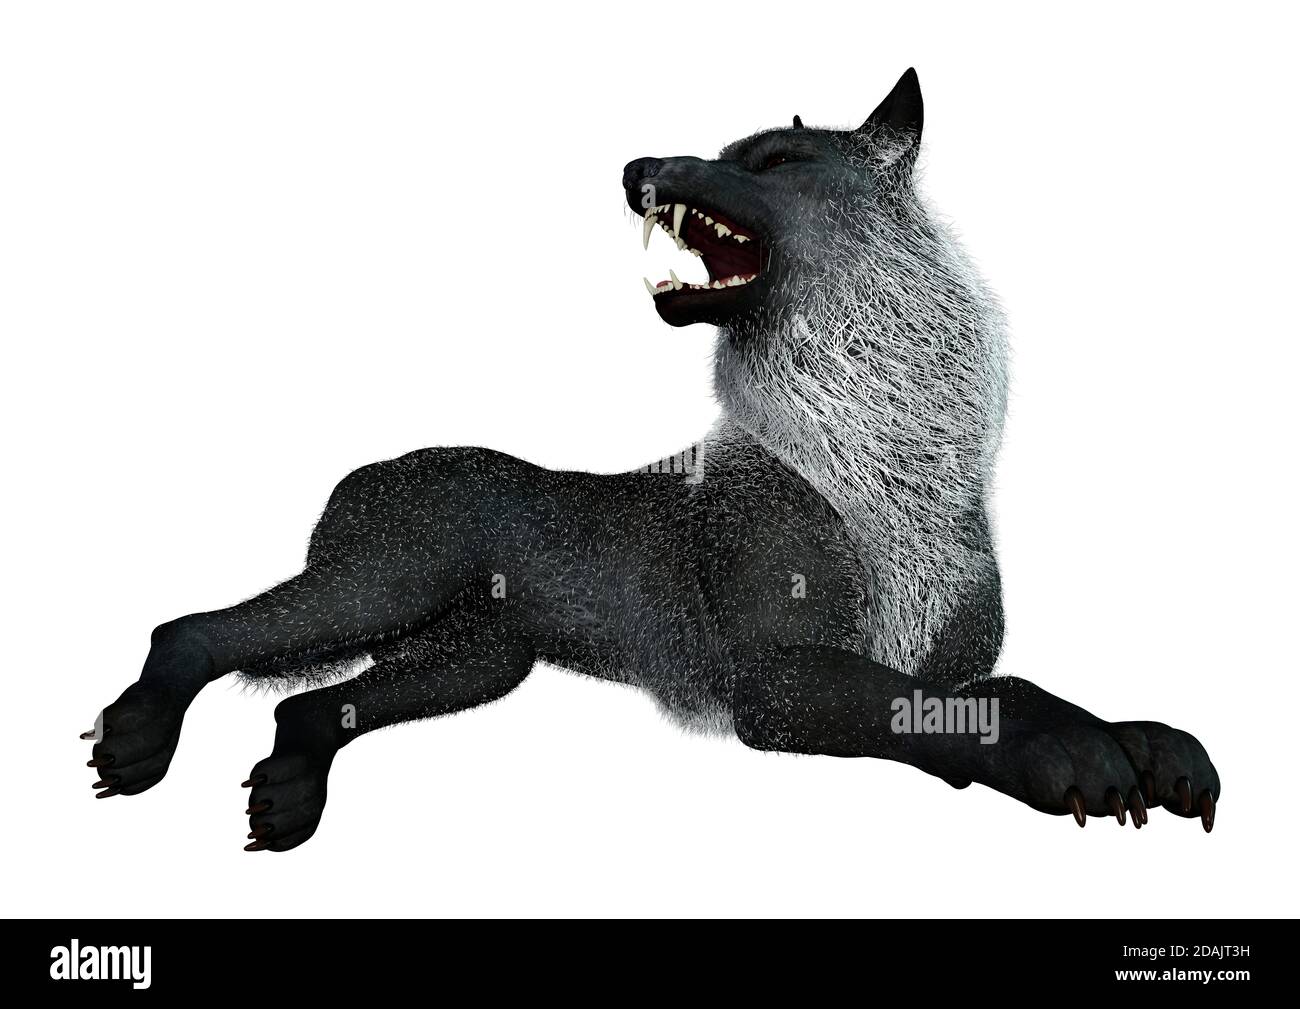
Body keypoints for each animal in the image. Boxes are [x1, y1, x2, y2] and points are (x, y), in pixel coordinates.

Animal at [85, 69, 1219, 850]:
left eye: (772, 162)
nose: (636, 169)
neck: (902, 468)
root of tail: (362, 471)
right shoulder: (777, 682)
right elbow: (1001, 697)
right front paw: (1080, 756)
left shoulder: (917, 667)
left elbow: (1009, 694)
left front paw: (1158, 747)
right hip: (376, 589)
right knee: (189, 628)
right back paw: (132, 746)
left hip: (478, 657)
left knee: (306, 703)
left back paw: (284, 801)